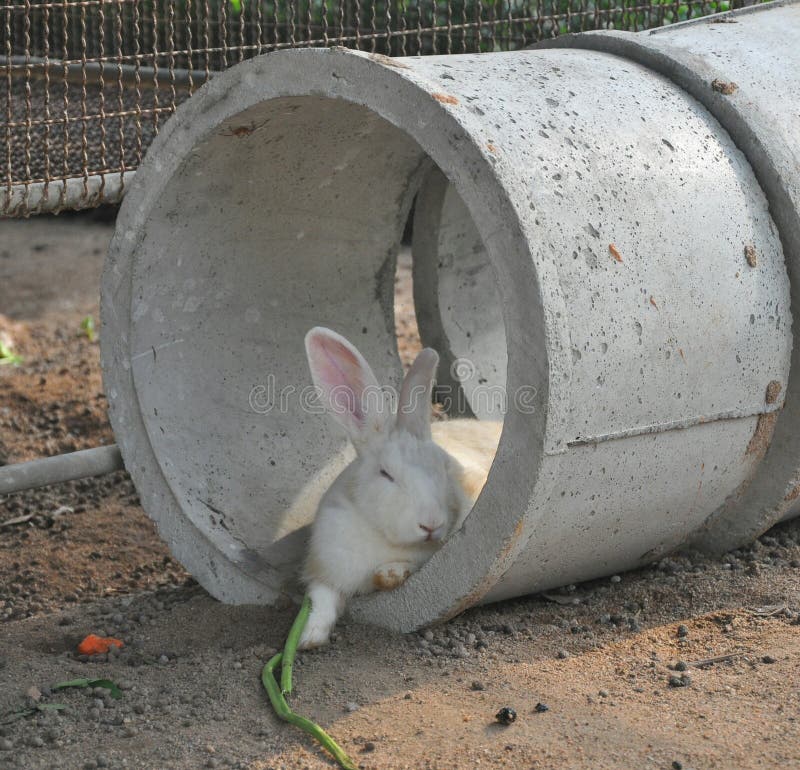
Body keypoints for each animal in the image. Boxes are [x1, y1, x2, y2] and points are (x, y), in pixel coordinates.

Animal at [298, 326, 501, 649]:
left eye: (443, 467)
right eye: (386, 474)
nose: (431, 524)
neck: (386, 539)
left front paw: (389, 573)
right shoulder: (326, 564)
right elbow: (321, 599)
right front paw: (309, 638)